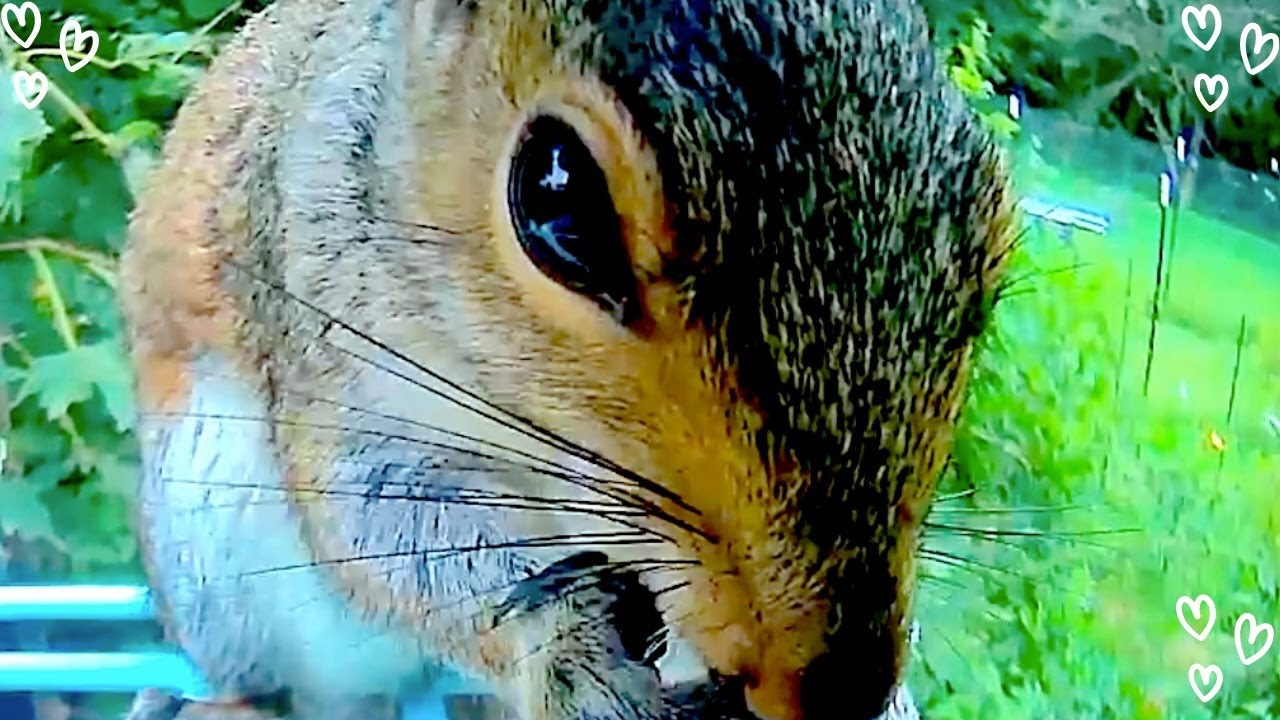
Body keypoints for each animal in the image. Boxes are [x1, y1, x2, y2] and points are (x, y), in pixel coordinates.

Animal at [117, 0, 1015, 719]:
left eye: (989, 225)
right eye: (557, 194)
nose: (839, 689)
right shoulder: (323, 334)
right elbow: (381, 520)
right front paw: (567, 649)